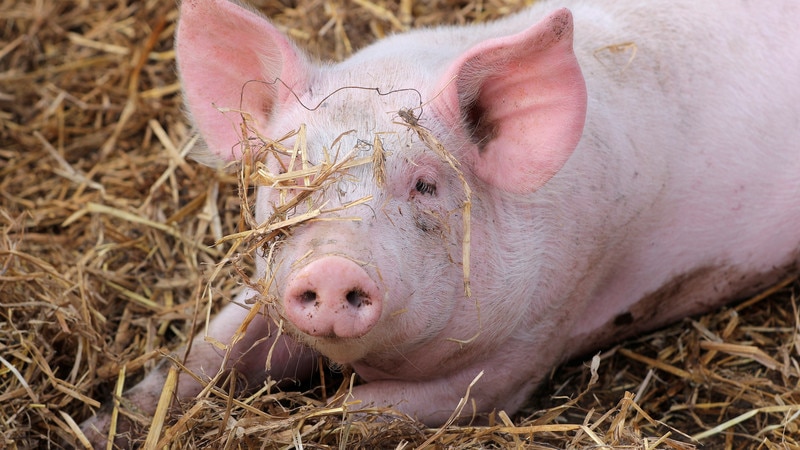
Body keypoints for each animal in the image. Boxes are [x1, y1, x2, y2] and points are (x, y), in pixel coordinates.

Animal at [82, 0, 800, 446]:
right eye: (287, 178)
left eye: (426, 184)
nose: (333, 266)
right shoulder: (262, 293)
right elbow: (203, 353)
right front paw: (97, 426)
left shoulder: (530, 344)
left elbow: (363, 412)